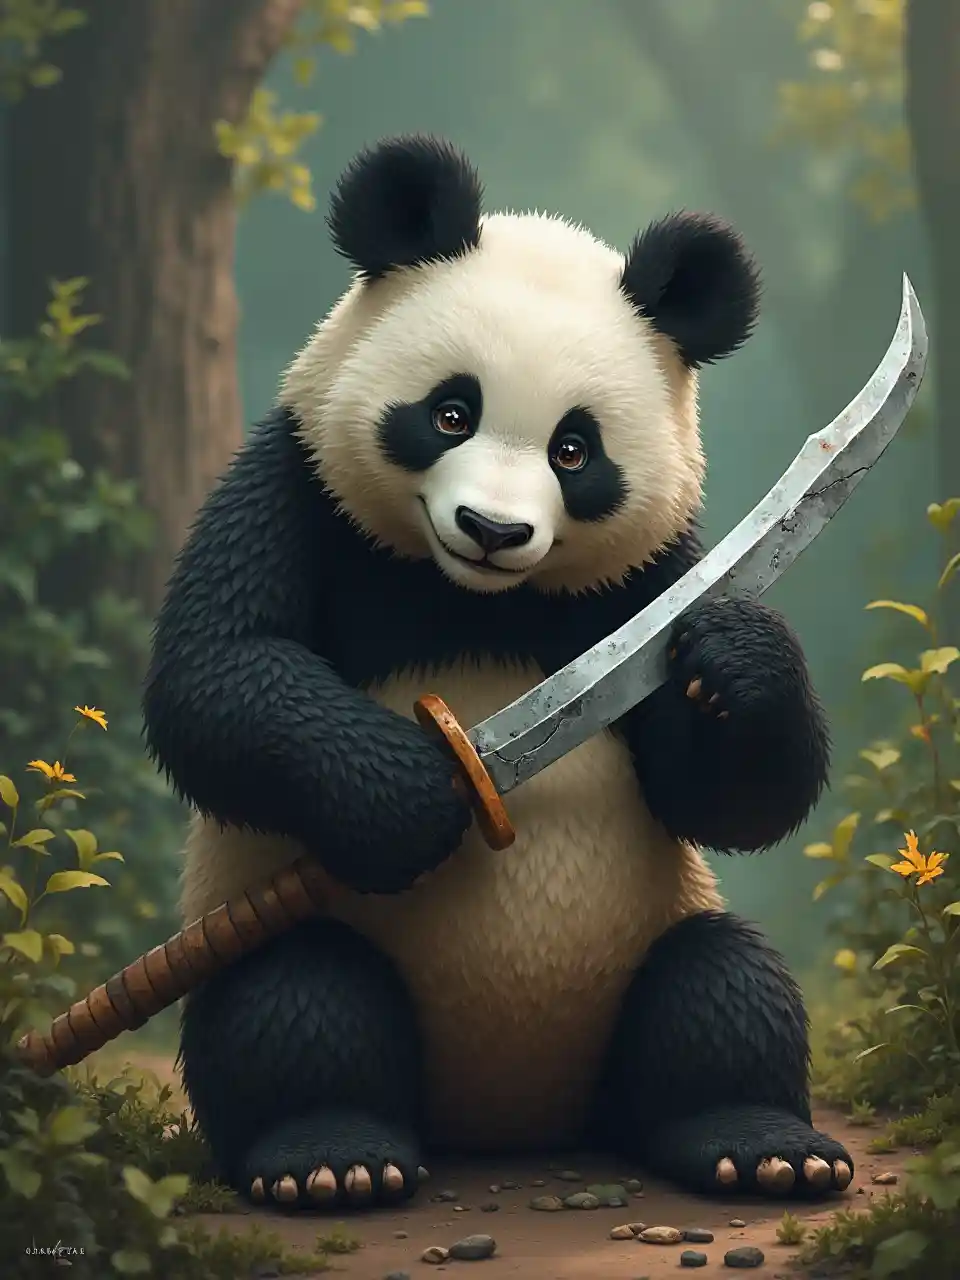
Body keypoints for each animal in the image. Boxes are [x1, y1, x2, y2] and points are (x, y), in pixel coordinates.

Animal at [143, 134, 854, 1211]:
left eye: (574, 449)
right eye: (449, 412)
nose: (492, 529)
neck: (473, 598)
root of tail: (505, 1122)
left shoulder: (647, 576)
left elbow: (722, 800)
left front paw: (735, 655)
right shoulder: (297, 484)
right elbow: (214, 672)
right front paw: (405, 793)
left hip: (643, 964)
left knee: (725, 984)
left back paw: (763, 1144)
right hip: (278, 937)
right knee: (295, 1000)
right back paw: (331, 1157)